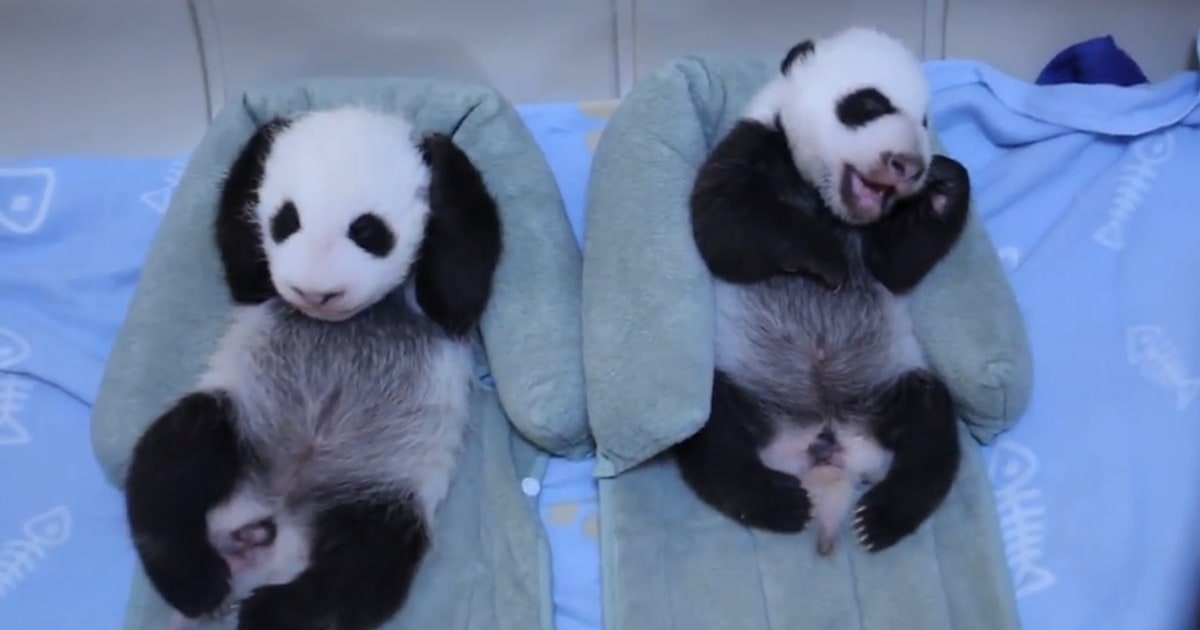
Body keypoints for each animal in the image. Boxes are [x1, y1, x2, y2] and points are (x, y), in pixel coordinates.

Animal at [123, 105, 502, 630]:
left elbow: (459, 289)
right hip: (242, 415)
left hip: (380, 489)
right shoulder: (264, 288)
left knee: (366, 565)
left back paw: (269, 611)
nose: (314, 293)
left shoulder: (442, 311)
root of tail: (273, 522)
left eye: (368, 230)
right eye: (285, 222)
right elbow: (245, 268)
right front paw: (264, 135)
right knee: (175, 461)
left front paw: (443, 157)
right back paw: (198, 582)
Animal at [678, 26, 972, 555]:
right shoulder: (753, 143)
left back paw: (881, 516)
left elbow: (894, 266)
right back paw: (779, 503)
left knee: (932, 424)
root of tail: (824, 441)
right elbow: (722, 226)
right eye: (868, 104)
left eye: (925, 120)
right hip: (740, 386)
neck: (827, 199)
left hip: (889, 384)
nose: (908, 165)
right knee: (711, 436)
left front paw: (946, 181)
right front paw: (827, 258)